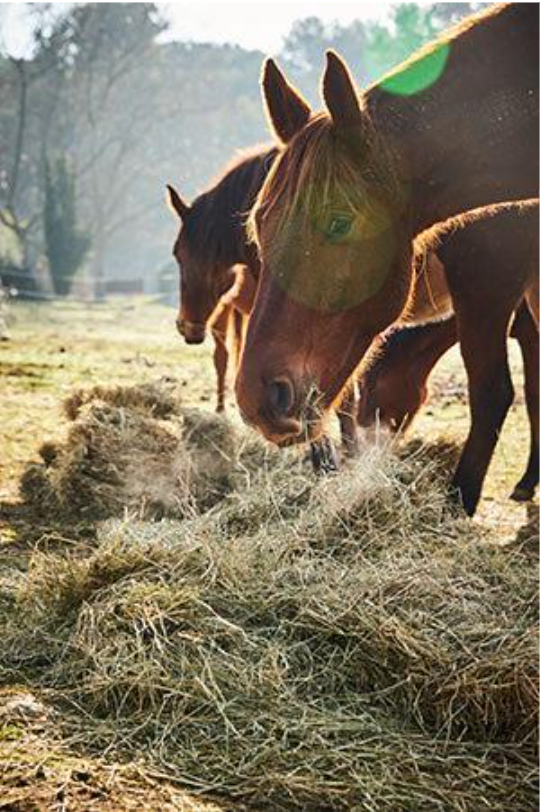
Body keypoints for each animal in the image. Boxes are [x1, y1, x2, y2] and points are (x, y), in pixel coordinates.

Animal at [235, 3, 539, 514]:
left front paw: (458, 506)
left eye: (339, 221)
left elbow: (492, 391)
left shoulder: (488, 282)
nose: (258, 398)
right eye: (259, 226)